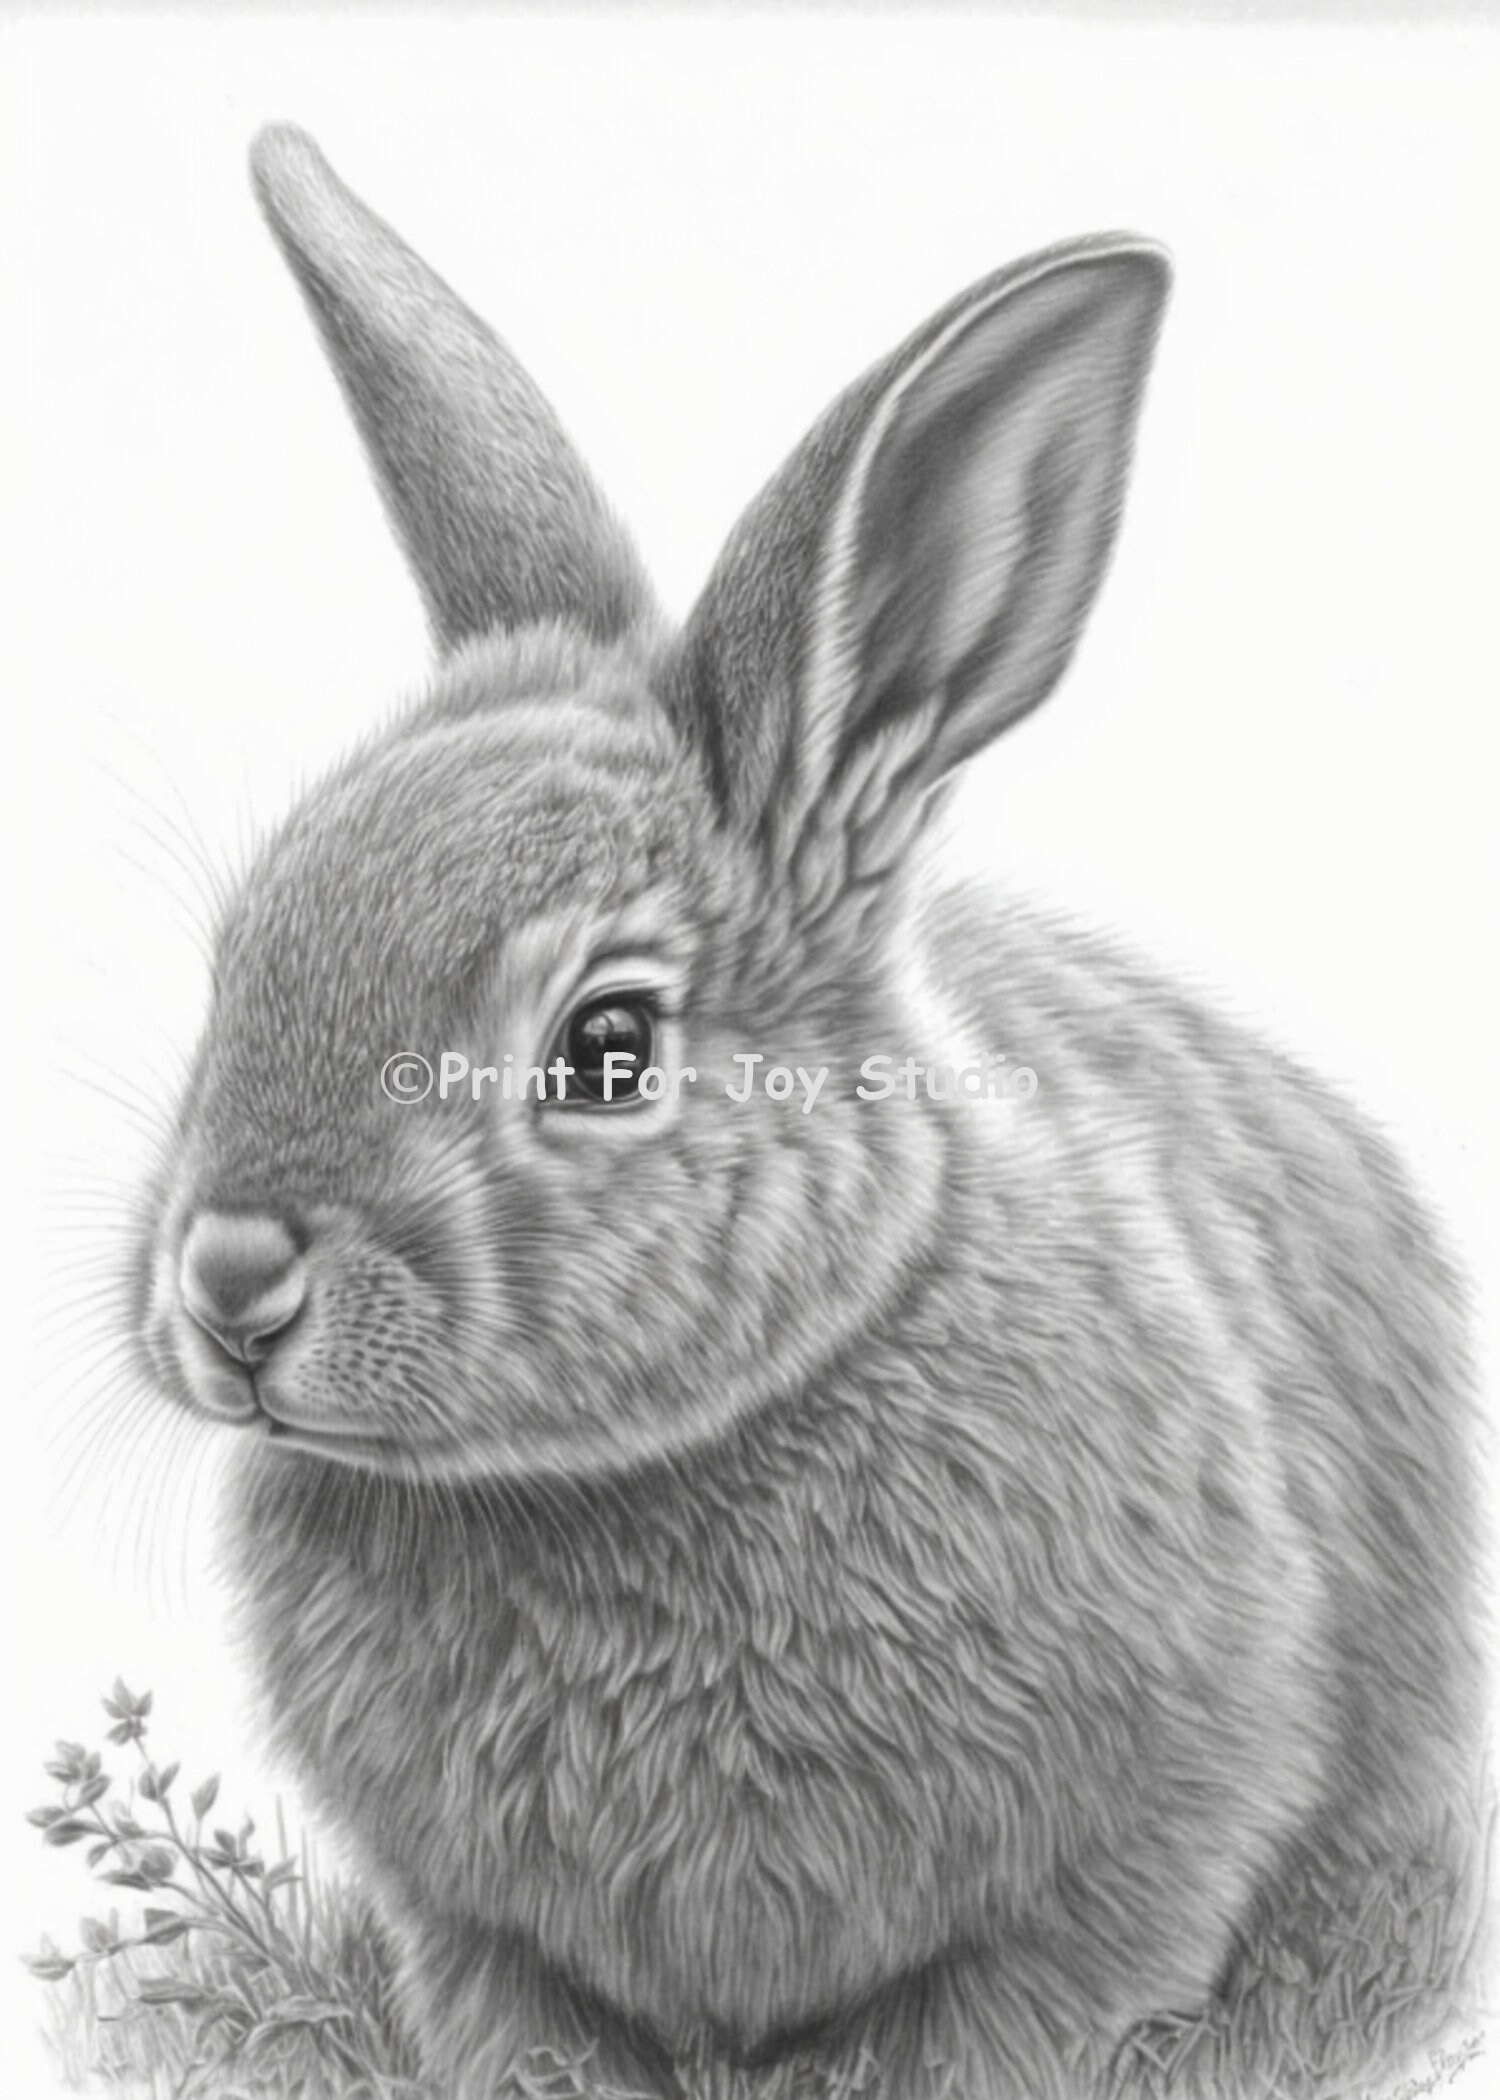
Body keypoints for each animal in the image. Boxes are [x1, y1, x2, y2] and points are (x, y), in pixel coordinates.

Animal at [131, 124, 1490, 2100]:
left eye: (608, 1049)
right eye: (240, 960)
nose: (230, 1282)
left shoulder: (1158, 1831)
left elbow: (1020, 2009)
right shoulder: (473, 1937)